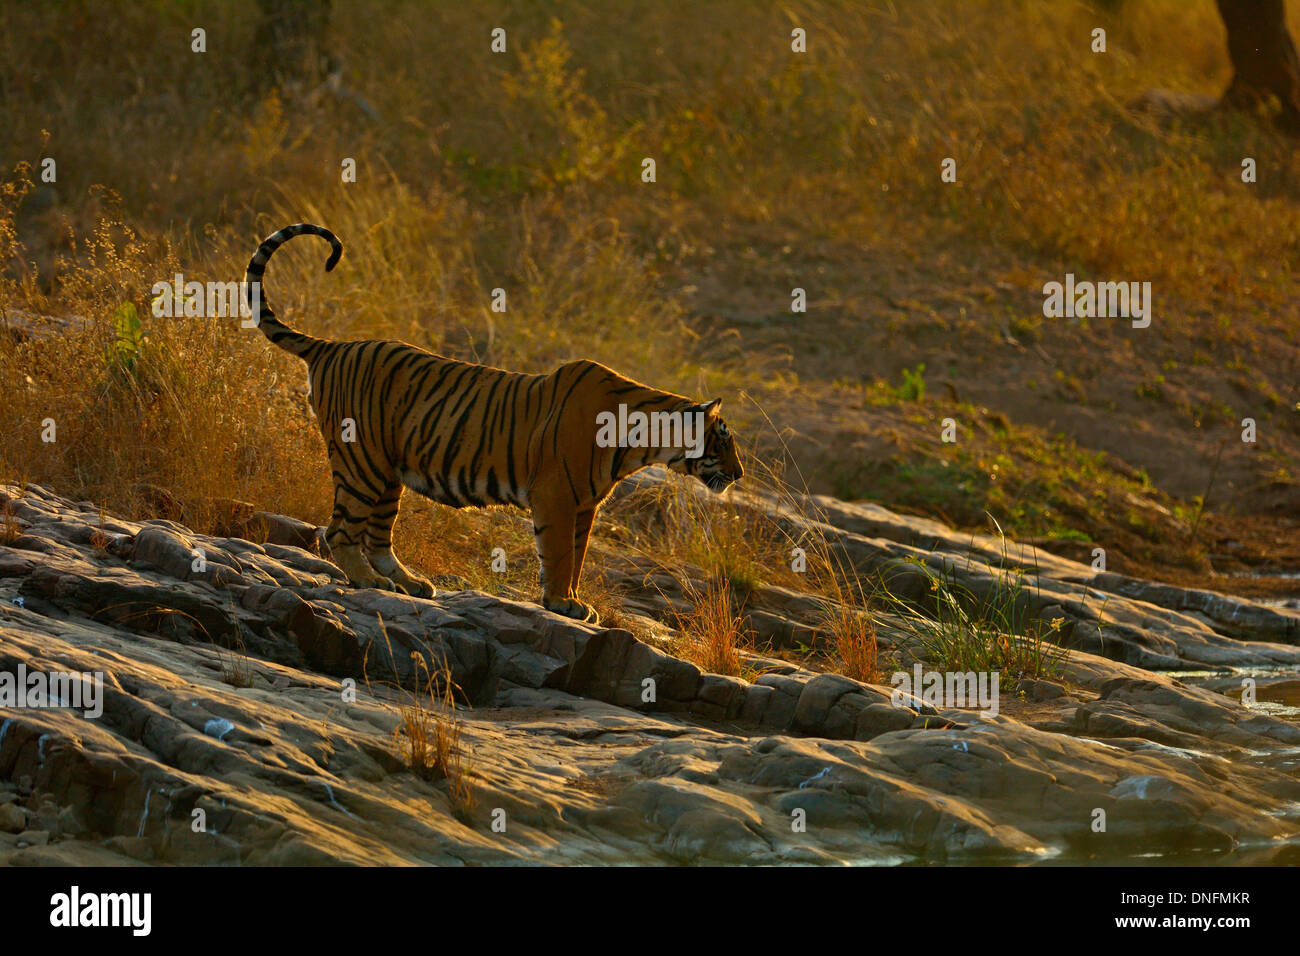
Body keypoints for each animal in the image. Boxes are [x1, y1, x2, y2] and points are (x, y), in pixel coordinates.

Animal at [243, 223, 745, 624]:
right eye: (723, 442)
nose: (740, 476)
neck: (644, 443)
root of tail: (332, 345)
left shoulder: (585, 505)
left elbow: (577, 555)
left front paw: (574, 601)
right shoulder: (557, 495)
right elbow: (558, 554)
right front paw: (561, 603)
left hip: (386, 471)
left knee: (377, 536)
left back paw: (410, 583)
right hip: (362, 461)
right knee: (340, 531)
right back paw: (373, 583)